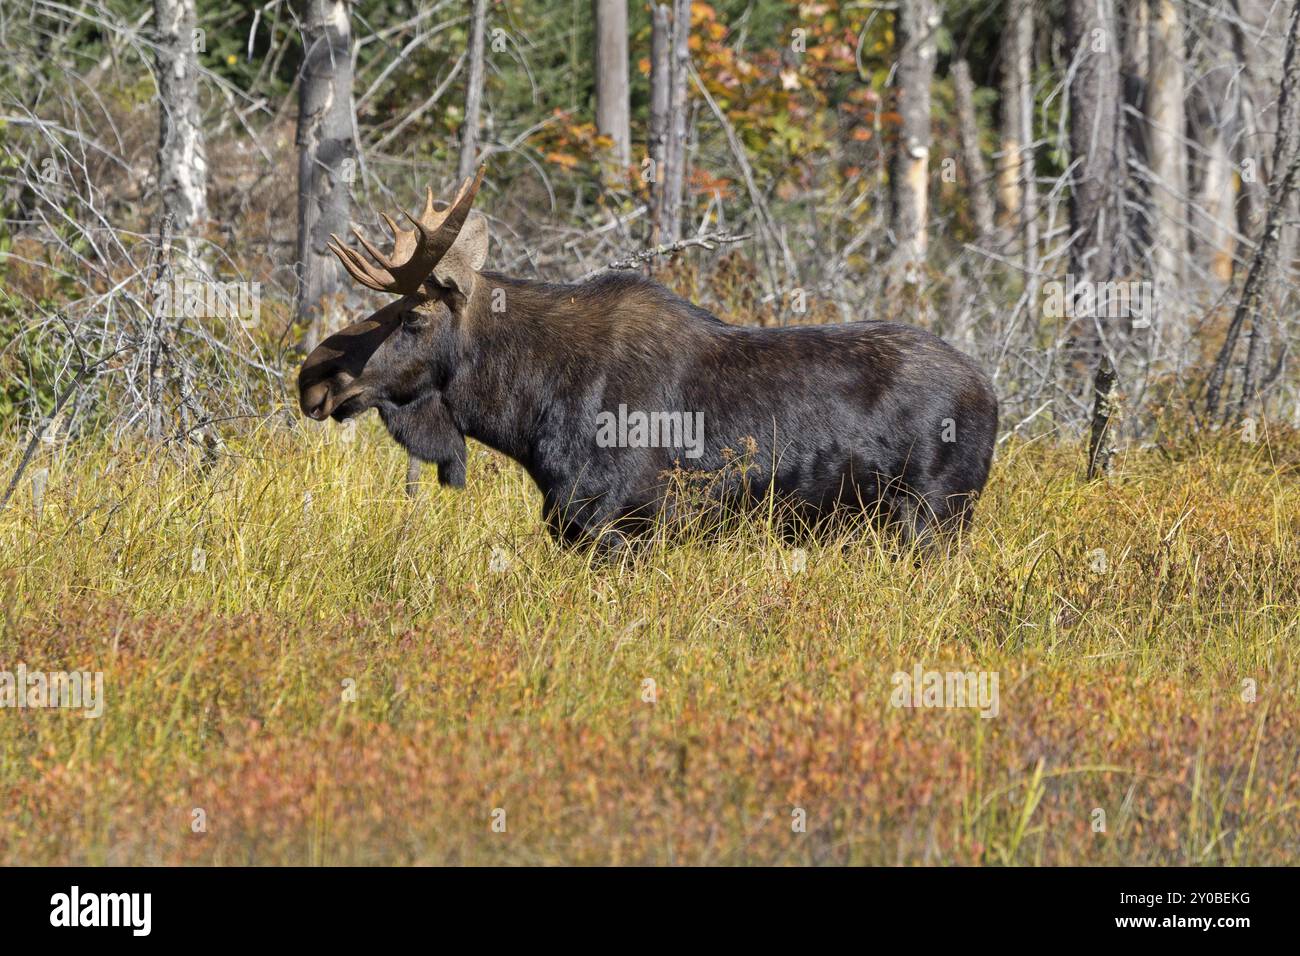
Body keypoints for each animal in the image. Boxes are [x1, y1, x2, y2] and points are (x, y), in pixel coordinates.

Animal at [298, 167, 999, 557]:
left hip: (933, 520)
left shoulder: (619, 527)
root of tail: (993, 396)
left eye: (412, 317)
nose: (314, 376)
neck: (525, 413)